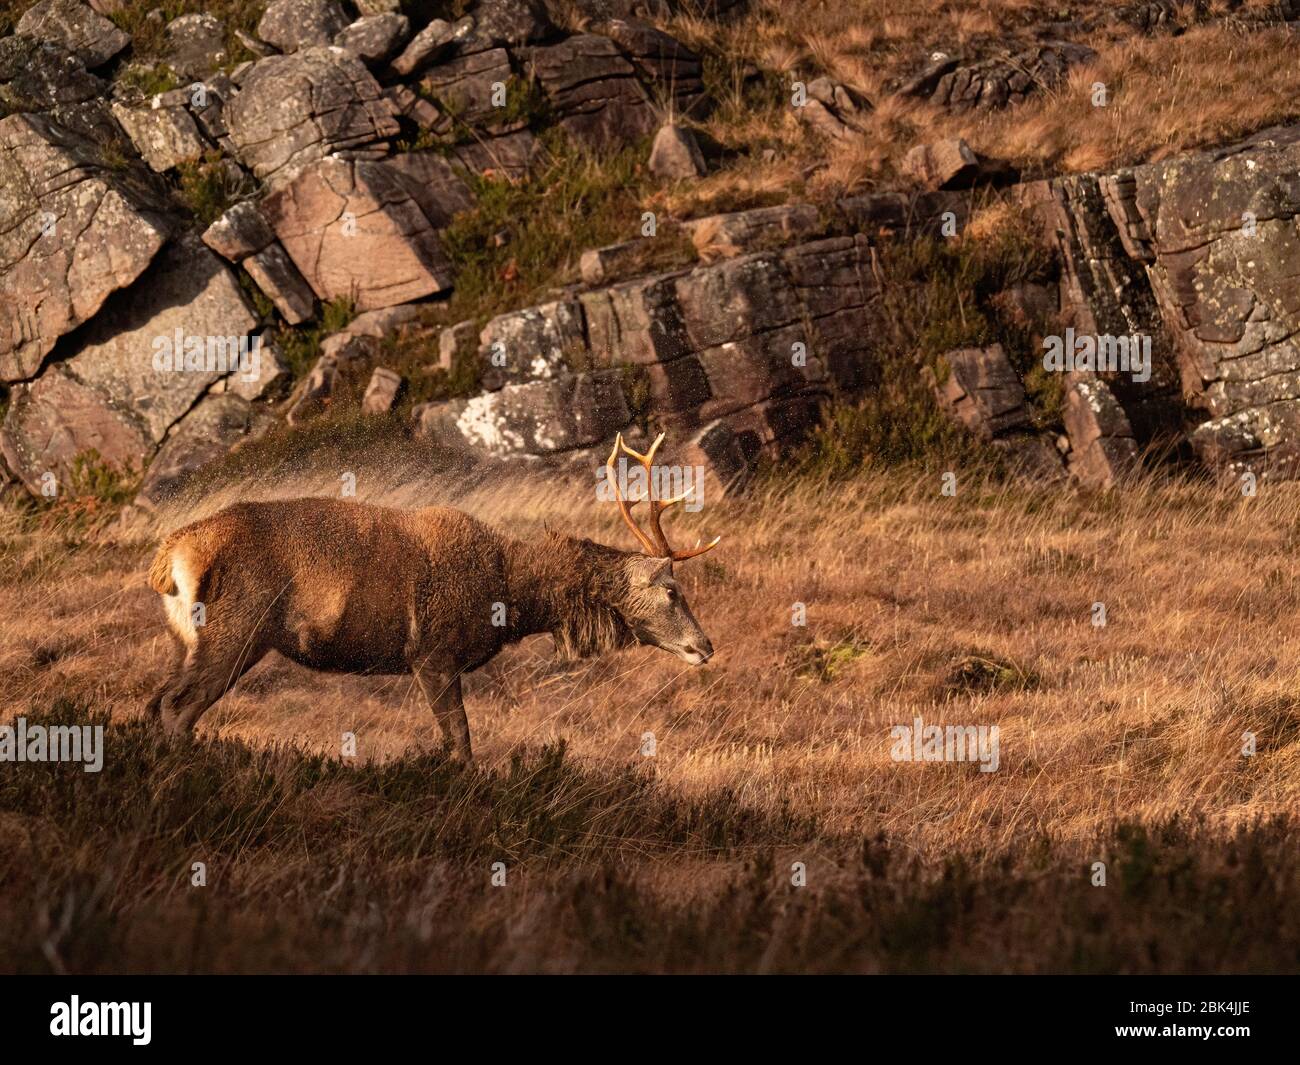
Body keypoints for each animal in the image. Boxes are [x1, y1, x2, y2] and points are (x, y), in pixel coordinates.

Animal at [144, 433, 720, 760]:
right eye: (672, 590)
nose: (706, 646)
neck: (509, 593)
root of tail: (172, 555)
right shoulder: (433, 653)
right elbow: (460, 745)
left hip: (189, 639)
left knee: (154, 704)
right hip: (236, 628)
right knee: (177, 708)